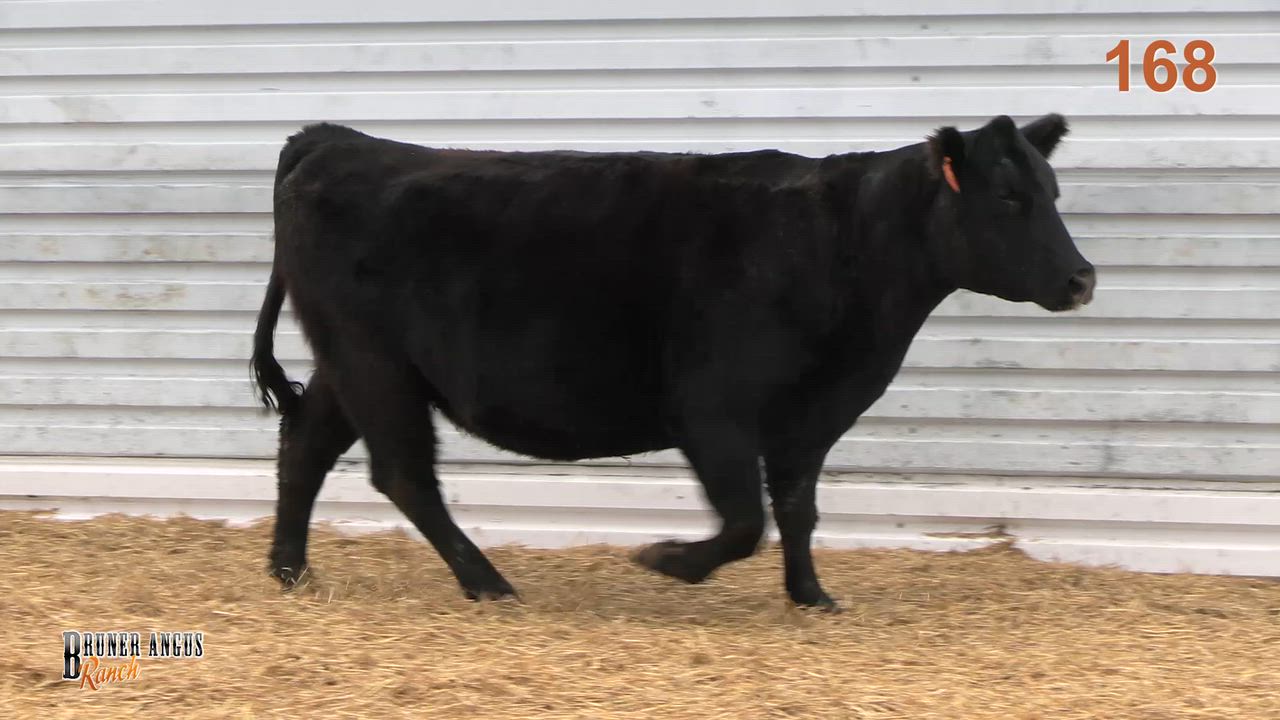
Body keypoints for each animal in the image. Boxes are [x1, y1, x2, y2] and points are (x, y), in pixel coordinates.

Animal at [252, 114, 1094, 610]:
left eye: (1053, 189)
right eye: (1010, 197)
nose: (1082, 278)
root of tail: (332, 138)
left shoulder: (813, 414)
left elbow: (797, 508)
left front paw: (811, 596)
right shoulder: (712, 408)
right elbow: (746, 518)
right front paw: (667, 559)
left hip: (349, 364)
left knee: (307, 445)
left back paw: (291, 571)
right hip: (375, 364)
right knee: (402, 473)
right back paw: (487, 583)